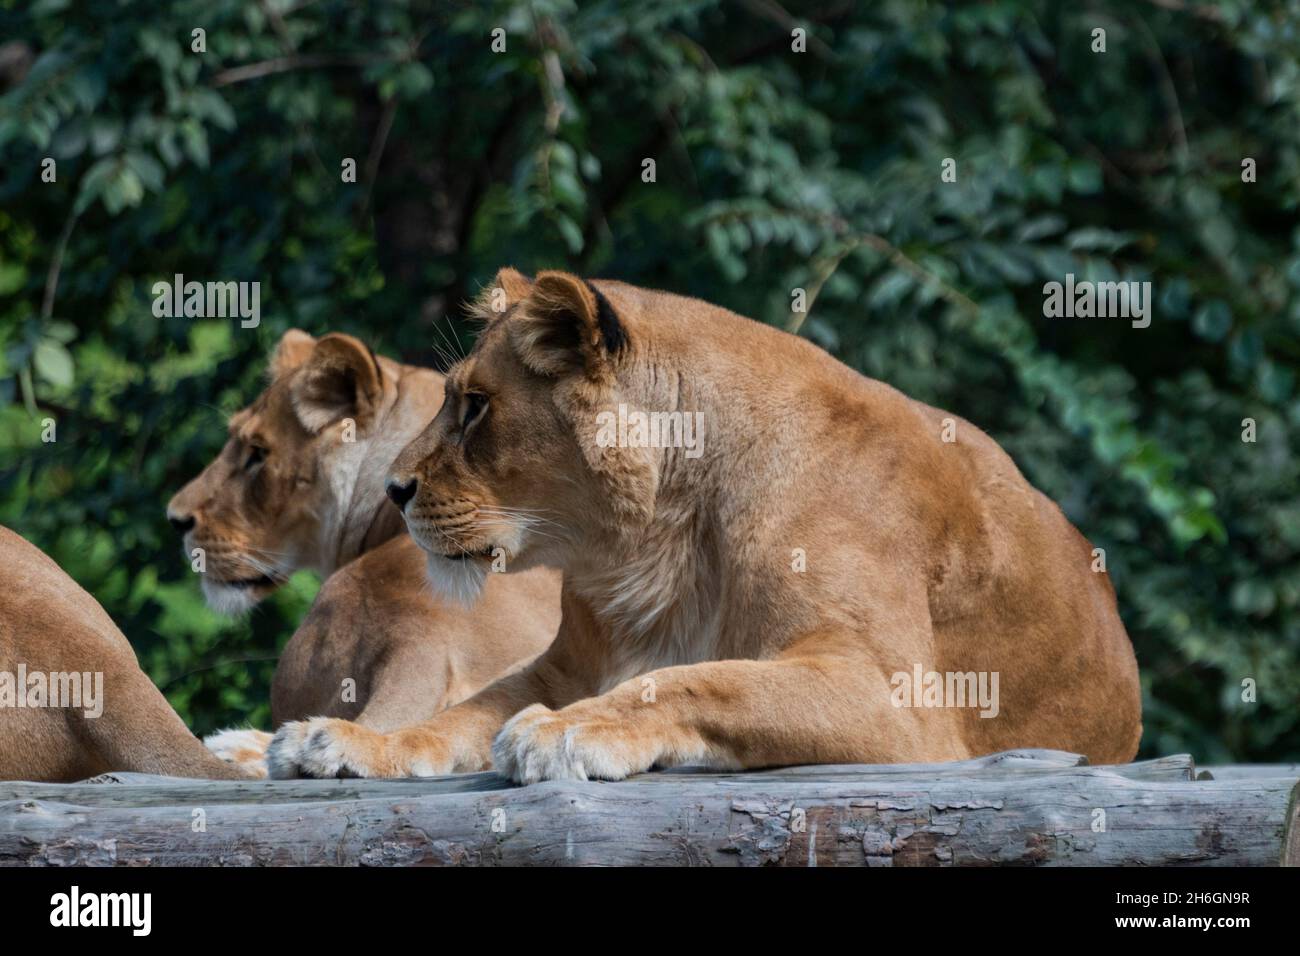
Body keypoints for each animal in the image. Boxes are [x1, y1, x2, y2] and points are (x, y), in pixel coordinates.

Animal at [265, 269, 1142, 781]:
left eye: (475, 406)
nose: (394, 487)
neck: (654, 542)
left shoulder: (901, 698)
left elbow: (704, 677)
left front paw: (569, 731)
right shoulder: (562, 663)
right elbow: (452, 718)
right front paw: (340, 743)